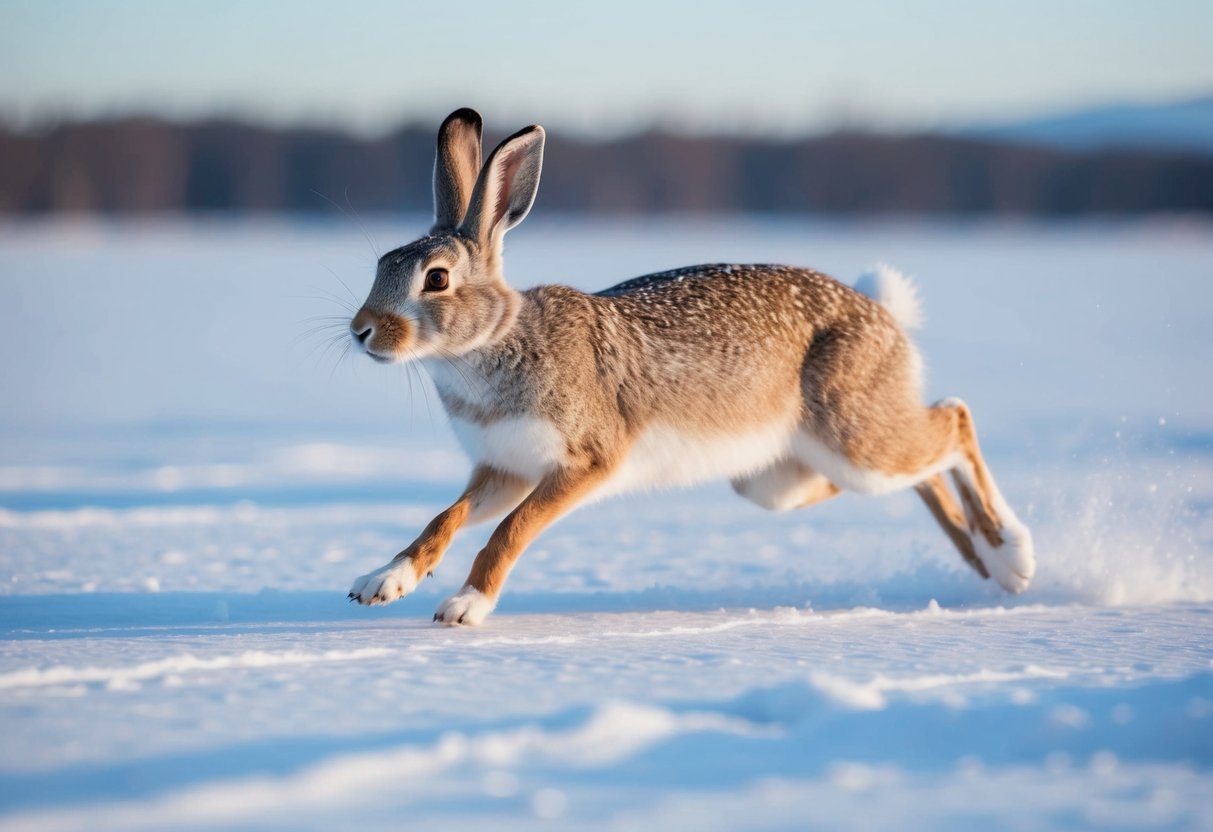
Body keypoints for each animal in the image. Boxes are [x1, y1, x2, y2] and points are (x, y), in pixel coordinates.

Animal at [346, 108, 1035, 625]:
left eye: (436, 279)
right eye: (381, 263)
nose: (362, 331)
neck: (493, 342)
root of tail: (885, 315)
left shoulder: (586, 461)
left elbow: (511, 532)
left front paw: (464, 607)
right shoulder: (505, 468)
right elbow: (446, 517)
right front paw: (382, 582)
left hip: (854, 435)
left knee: (953, 422)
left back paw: (1013, 554)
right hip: (779, 478)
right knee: (918, 468)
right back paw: (991, 564)